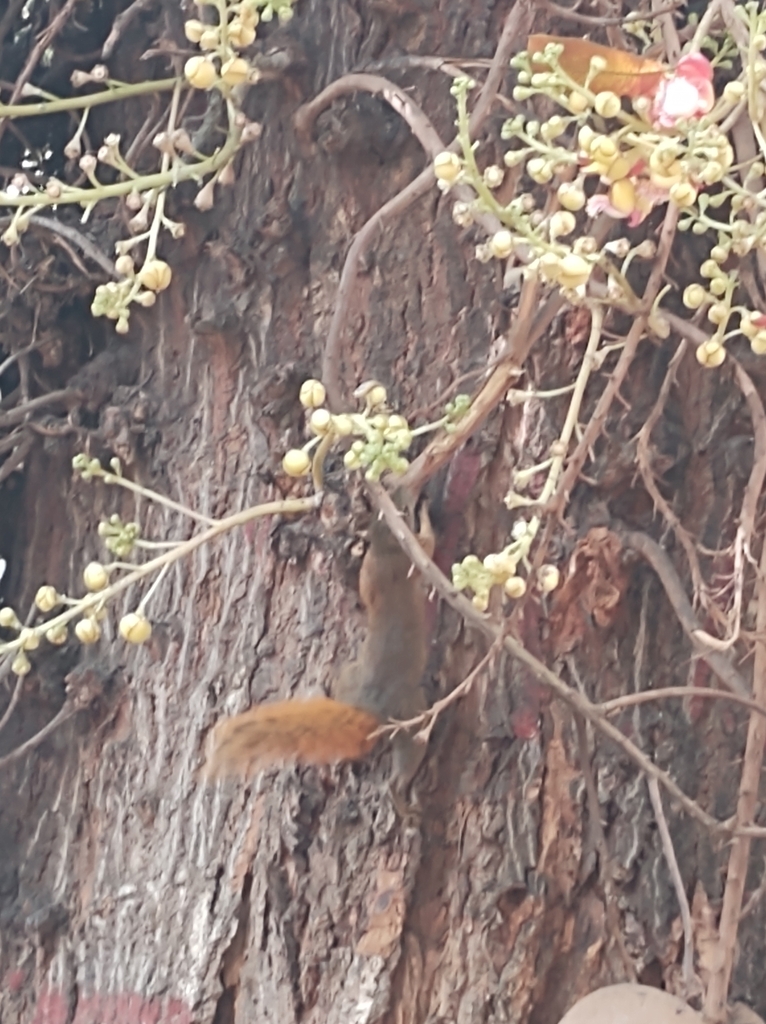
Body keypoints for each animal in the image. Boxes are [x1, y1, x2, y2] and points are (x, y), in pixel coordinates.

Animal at [202, 503, 435, 813]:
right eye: (402, 509)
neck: (385, 548)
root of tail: (367, 711)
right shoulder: (408, 557)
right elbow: (429, 545)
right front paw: (426, 517)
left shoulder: (372, 573)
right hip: (411, 716)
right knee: (400, 773)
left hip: (349, 675)